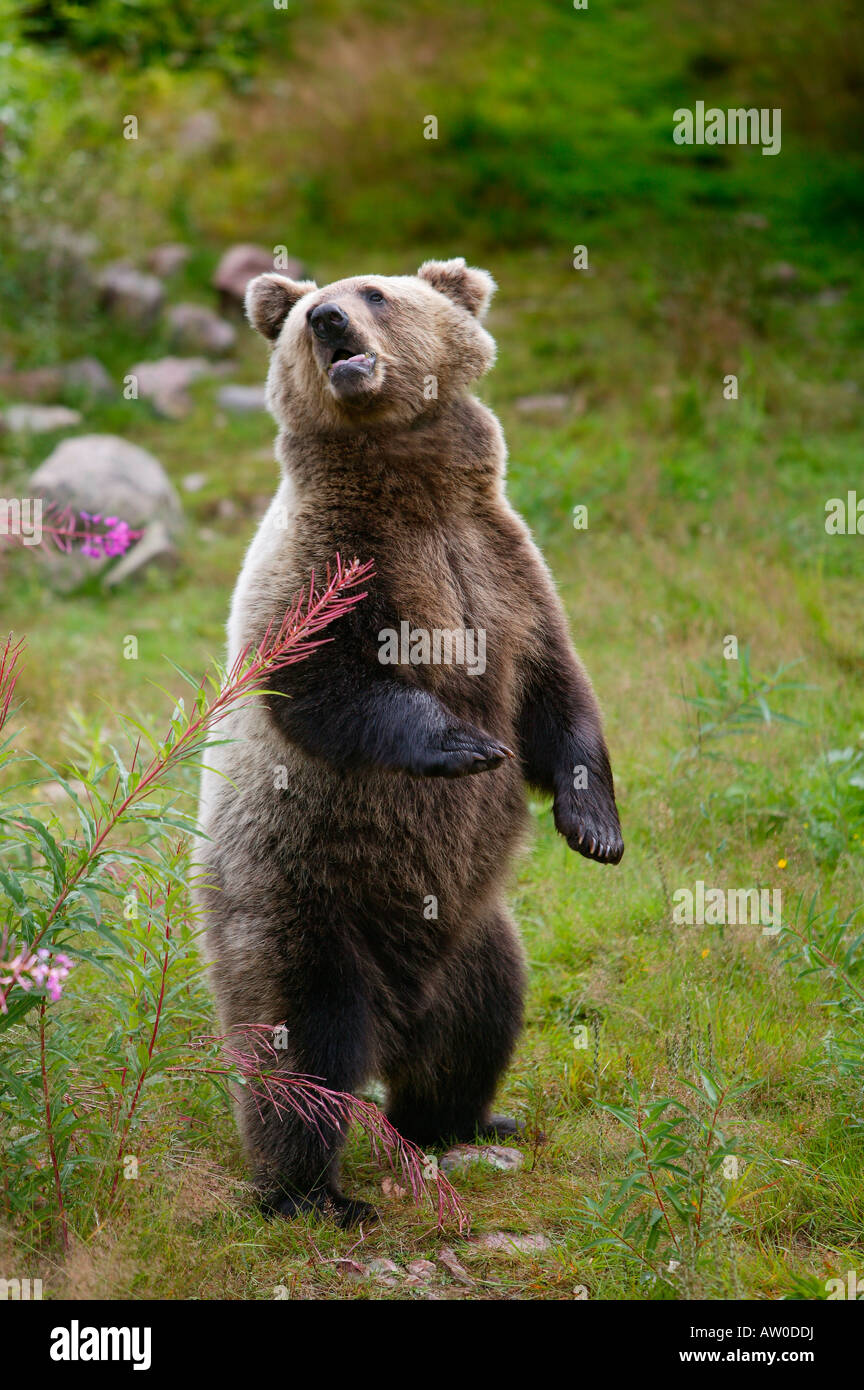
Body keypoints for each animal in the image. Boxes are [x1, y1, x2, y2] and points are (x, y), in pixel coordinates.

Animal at [195, 257, 623, 1227]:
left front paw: (594, 826)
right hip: (302, 907)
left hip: (473, 939)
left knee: (480, 1023)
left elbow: (560, 697)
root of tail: (398, 1007)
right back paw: (312, 1193)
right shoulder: (329, 569)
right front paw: (463, 747)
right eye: (308, 311)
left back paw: (466, 1120)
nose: (325, 320)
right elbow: (323, 684)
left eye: (373, 293)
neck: (411, 487)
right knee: (304, 1052)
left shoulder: (504, 571)